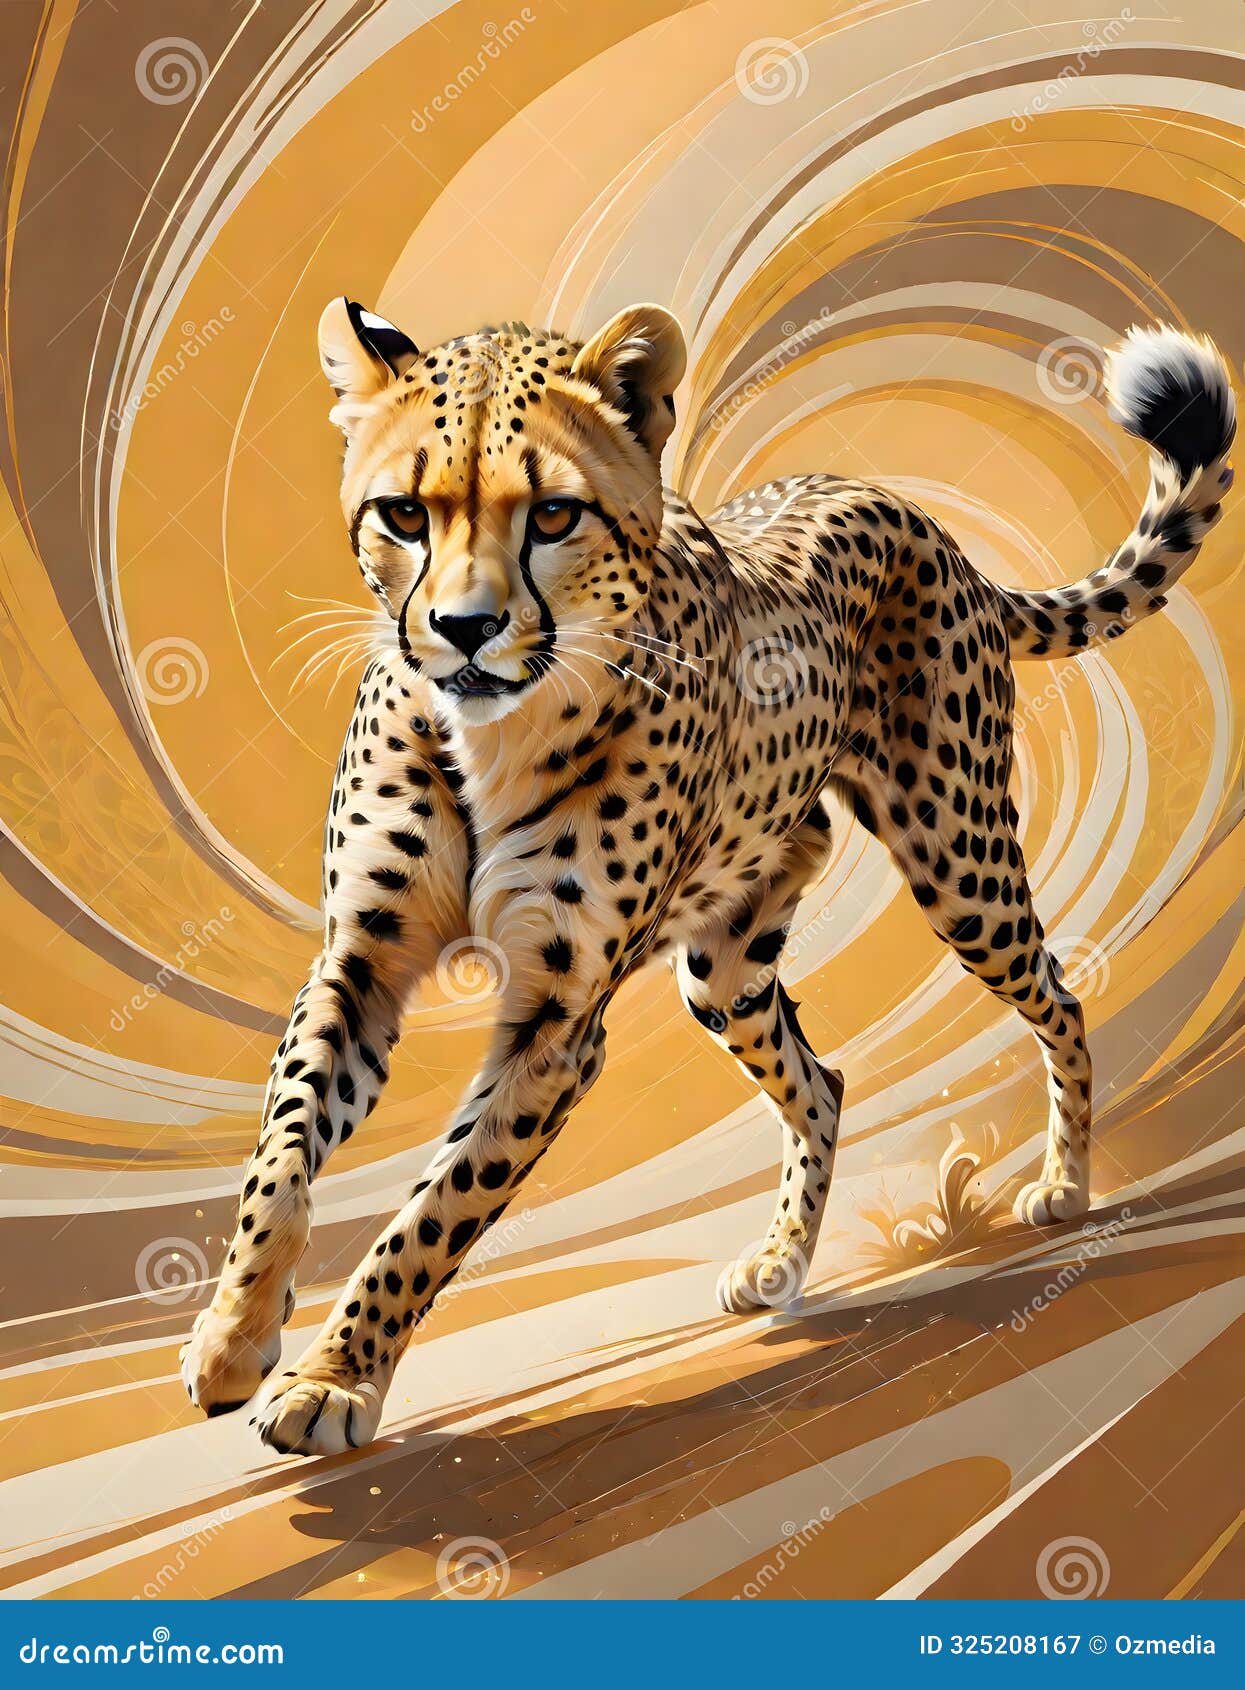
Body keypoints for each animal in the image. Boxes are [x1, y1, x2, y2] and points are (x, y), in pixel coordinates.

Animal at [181, 297, 1235, 1456]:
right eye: (405, 513)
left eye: (554, 516)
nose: (462, 630)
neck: (489, 733)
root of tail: (904, 506)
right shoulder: (361, 960)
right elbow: (280, 1157)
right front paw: (235, 1338)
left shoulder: (559, 1021)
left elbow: (438, 1205)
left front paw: (333, 1377)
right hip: (723, 966)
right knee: (821, 1082)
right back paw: (780, 1264)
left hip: (960, 862)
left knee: (1060, 997)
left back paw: (1065, 1187)